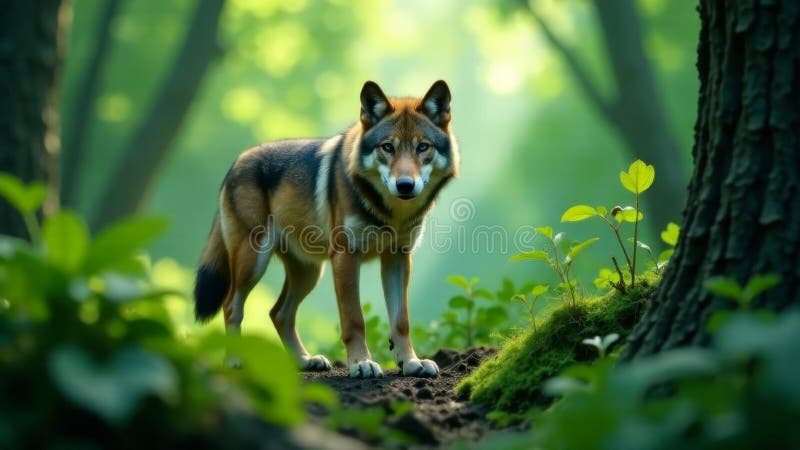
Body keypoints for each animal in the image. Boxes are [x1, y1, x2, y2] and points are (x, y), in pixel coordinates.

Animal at [194, 80, 459, 378]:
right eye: (387, 147)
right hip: (253, 263)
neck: (390, 213)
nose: (404, 185)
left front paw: (411, 363)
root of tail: (236, 161)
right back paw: (235, 362)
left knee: (279, 314)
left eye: (423, 147)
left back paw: (305, 360)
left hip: (310, 272)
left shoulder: (398, 257)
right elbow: (354, 319)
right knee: (232, 306)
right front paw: (361, 363)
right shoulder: (346, 256)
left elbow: (401, 321)